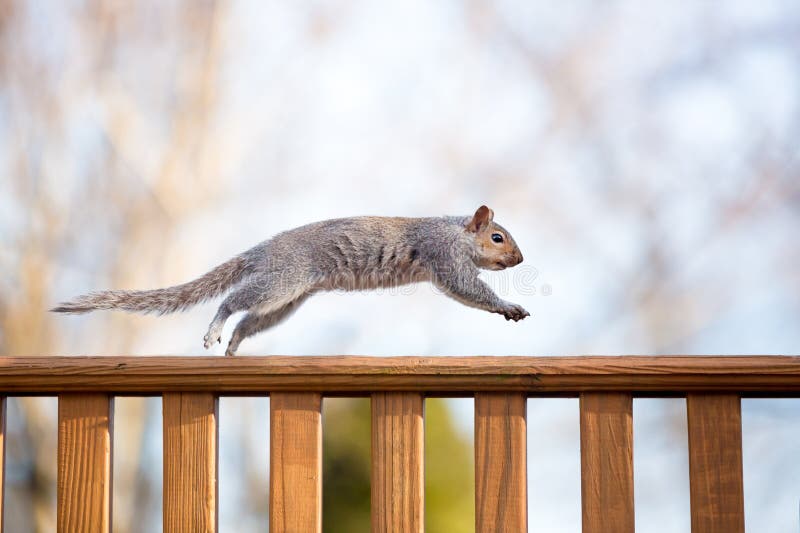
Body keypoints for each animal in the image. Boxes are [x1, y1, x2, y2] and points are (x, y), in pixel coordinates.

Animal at [52, 205, 530, 355]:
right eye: (498, 237)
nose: (520, 259)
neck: (454, 230)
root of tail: (262, 251)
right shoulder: (443, 256)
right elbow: (468, 288)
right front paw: (508, 306)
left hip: (286, 302)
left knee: (249, 321)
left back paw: (233, 345)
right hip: (281, 282)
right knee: (230, 302)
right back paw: (214, 331)